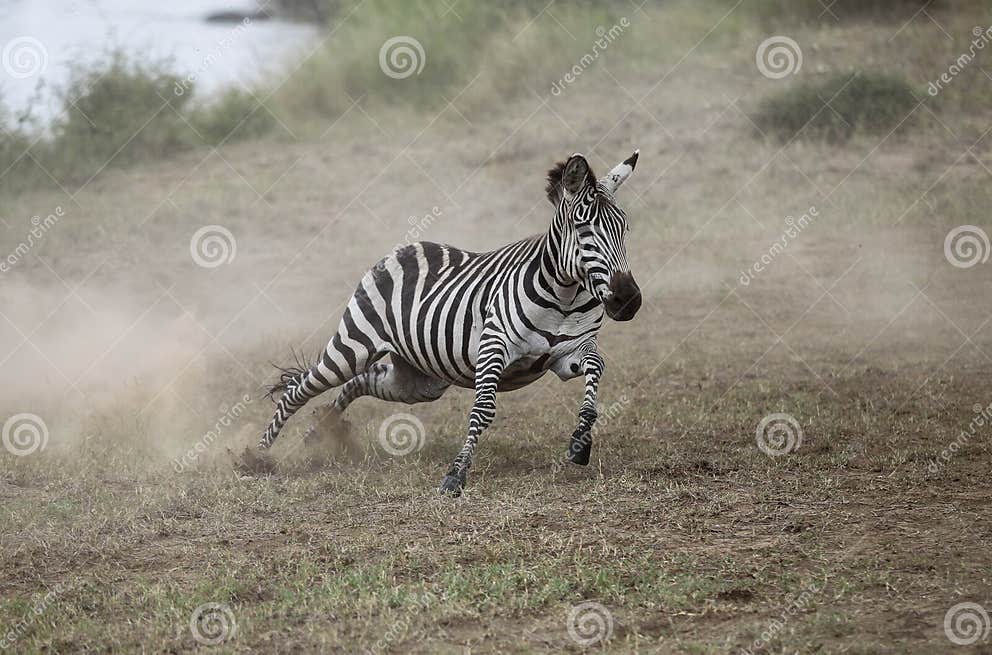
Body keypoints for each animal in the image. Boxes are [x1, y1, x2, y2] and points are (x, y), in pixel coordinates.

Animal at [260, 151, 642, 496]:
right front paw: (456, 475)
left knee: (363, 380)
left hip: (419, 379)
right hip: (354, 345)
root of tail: (402, 248)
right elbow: (483, 410)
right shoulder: (493, 348)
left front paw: (581, 440)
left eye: (624, 228)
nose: (628, 300)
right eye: (583, 229)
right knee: (300, 389)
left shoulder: (568, 354)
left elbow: (596, 366)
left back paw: (321, 430)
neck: (564, 294)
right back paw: (258, 456)